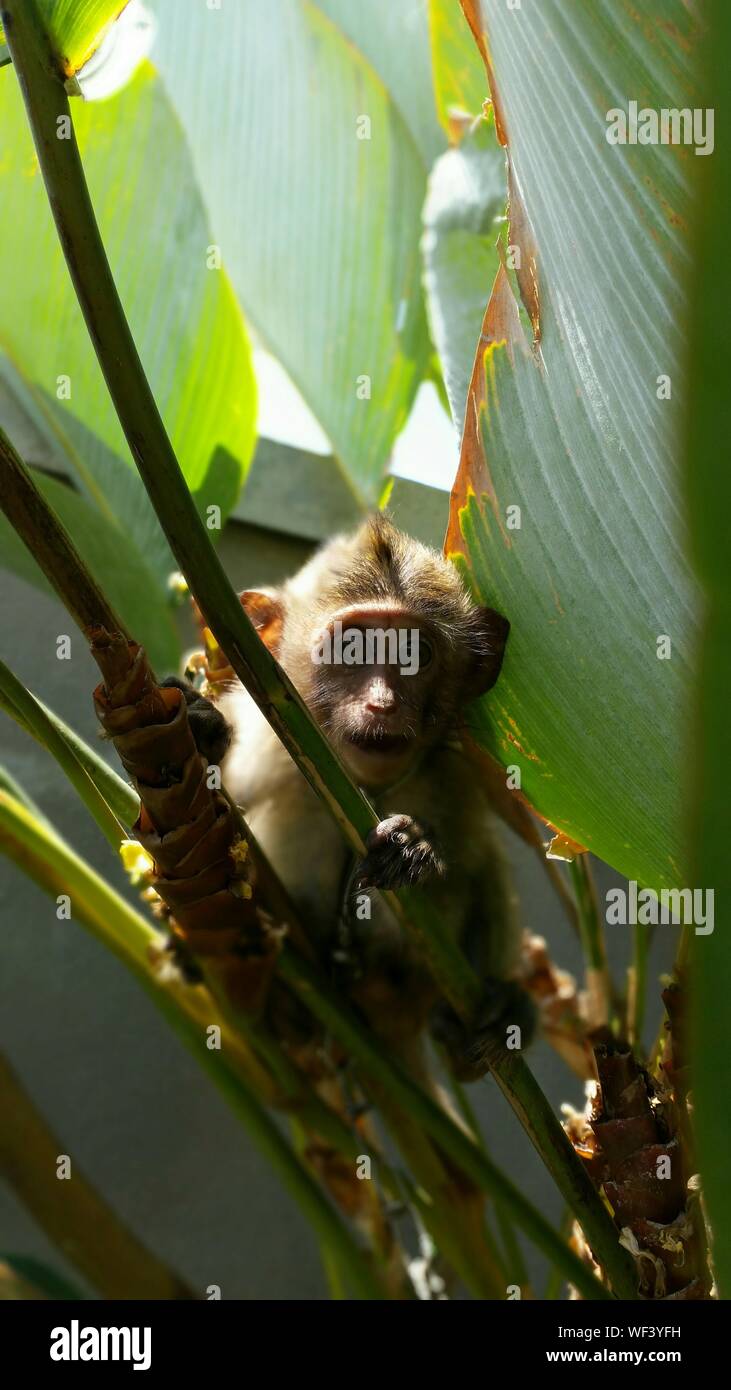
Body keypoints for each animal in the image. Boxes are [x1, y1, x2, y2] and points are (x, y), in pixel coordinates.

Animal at [164, 515, 535, 1082]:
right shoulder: (267, 739)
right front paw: (200, 732)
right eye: (352, 648)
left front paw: (413, 849)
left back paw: (482, 1024)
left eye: (415, 654)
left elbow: (469, 859)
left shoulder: (457, 773)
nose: (382, 703)